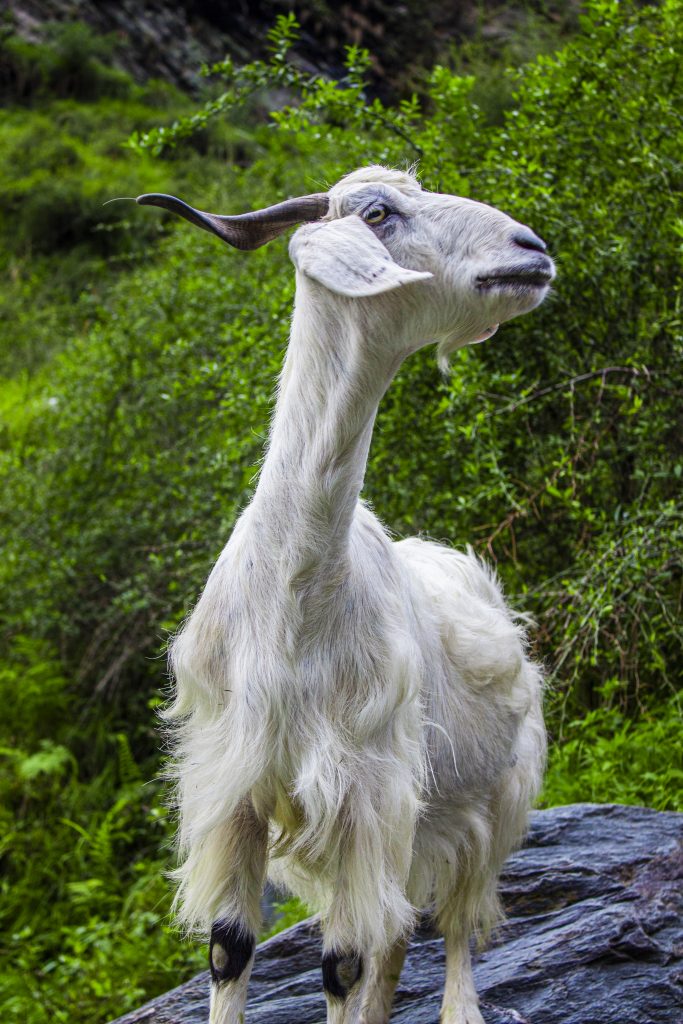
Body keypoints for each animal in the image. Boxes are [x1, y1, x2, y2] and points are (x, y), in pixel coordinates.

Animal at [137, 166, 553, 1024]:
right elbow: (230, 947)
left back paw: (459, 1007)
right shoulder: (235, 786)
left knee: (453, 922)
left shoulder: (364, 789)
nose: (530, 249)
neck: (294, 594)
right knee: (395, 935)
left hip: (492, 797)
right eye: (378, 213)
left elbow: (339, 963)